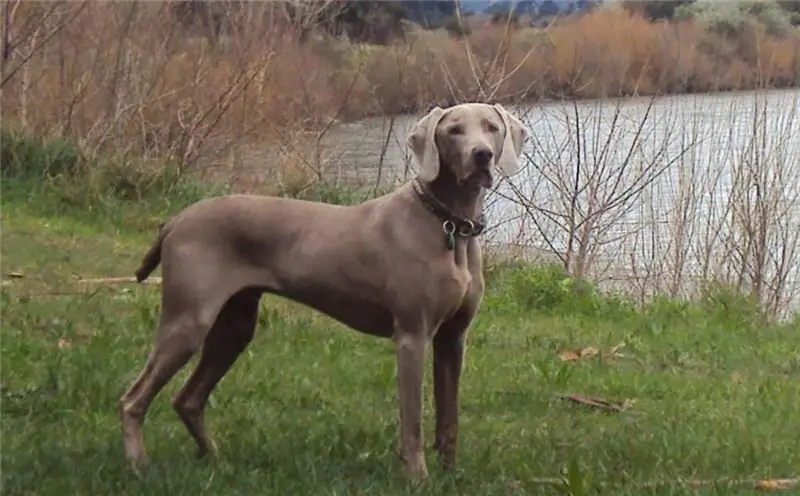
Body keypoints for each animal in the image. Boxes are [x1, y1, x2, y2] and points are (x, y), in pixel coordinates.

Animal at [119, 101, 528, 480]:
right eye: (454, 130)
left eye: (491, 127)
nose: (482, 155)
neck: (448, 224)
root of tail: (176, 220)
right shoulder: (412, 335)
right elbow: (412, 420)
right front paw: (417, 477)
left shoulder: (452, 339)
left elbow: (449, 417)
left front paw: (449, 475)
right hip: (188, 321)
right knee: (133, 399)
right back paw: (139, 464)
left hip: (234, 327)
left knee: (187, 399)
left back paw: (214, 458)